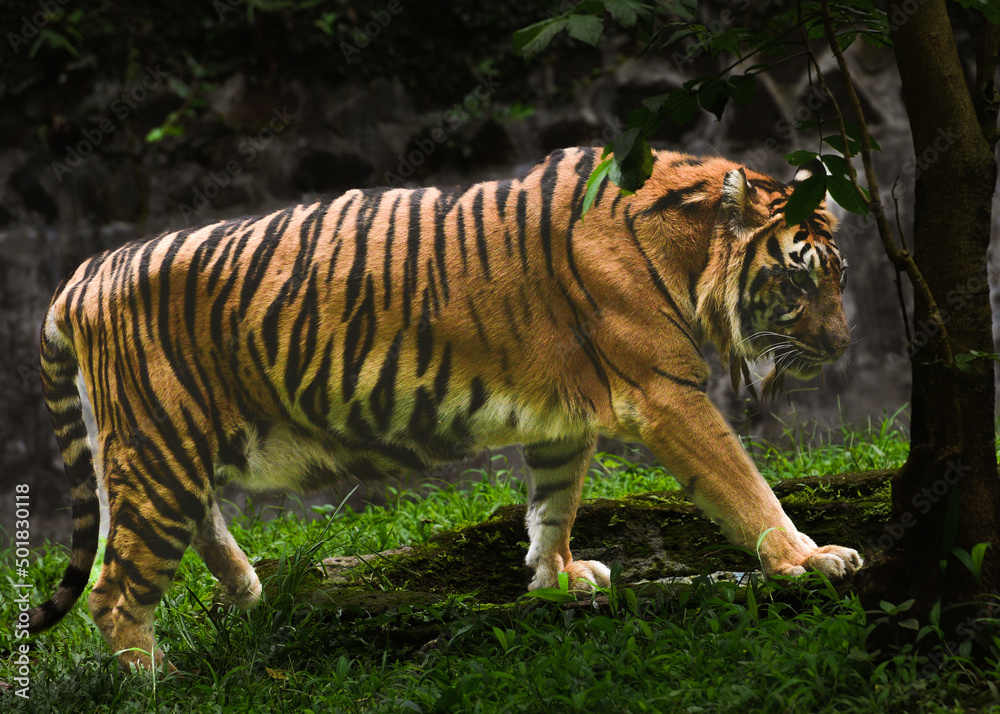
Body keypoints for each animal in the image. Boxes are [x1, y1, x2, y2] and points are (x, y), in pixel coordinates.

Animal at [27, 146, 861, 671]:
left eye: (839, 274)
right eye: (798, 278)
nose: (844, 344)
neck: (687, 251)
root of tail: (88, 269)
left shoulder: (566, 417)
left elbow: (554, 502)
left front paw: (556, 577)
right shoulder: (665, 391)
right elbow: (743, 484)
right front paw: (809, 559)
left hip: (179, 444)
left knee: (191, 527)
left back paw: (253, 596)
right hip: (158, 444)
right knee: (113, 592)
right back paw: (164, 683)